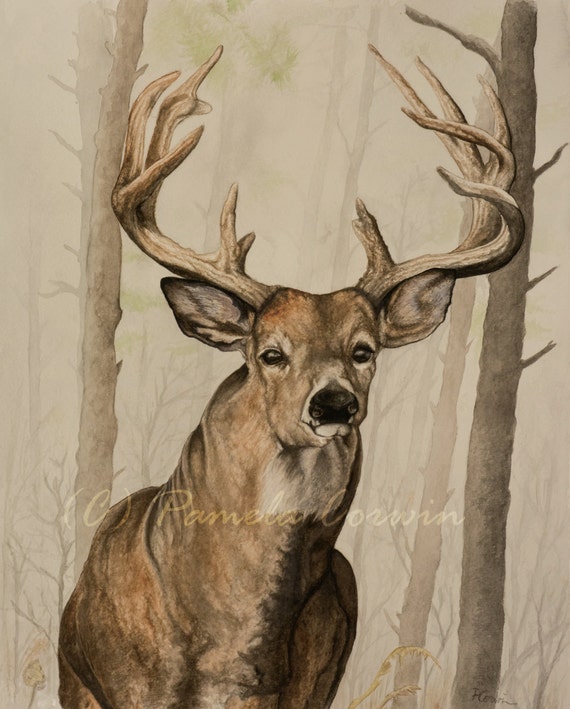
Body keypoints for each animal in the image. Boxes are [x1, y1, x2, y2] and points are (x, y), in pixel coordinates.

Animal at [58, 44, 523, 709]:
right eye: (271, 353)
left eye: (364, 351)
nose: (333, 404)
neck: (230, 643)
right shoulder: (128, 686)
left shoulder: (304, 687)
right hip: (77, 677)